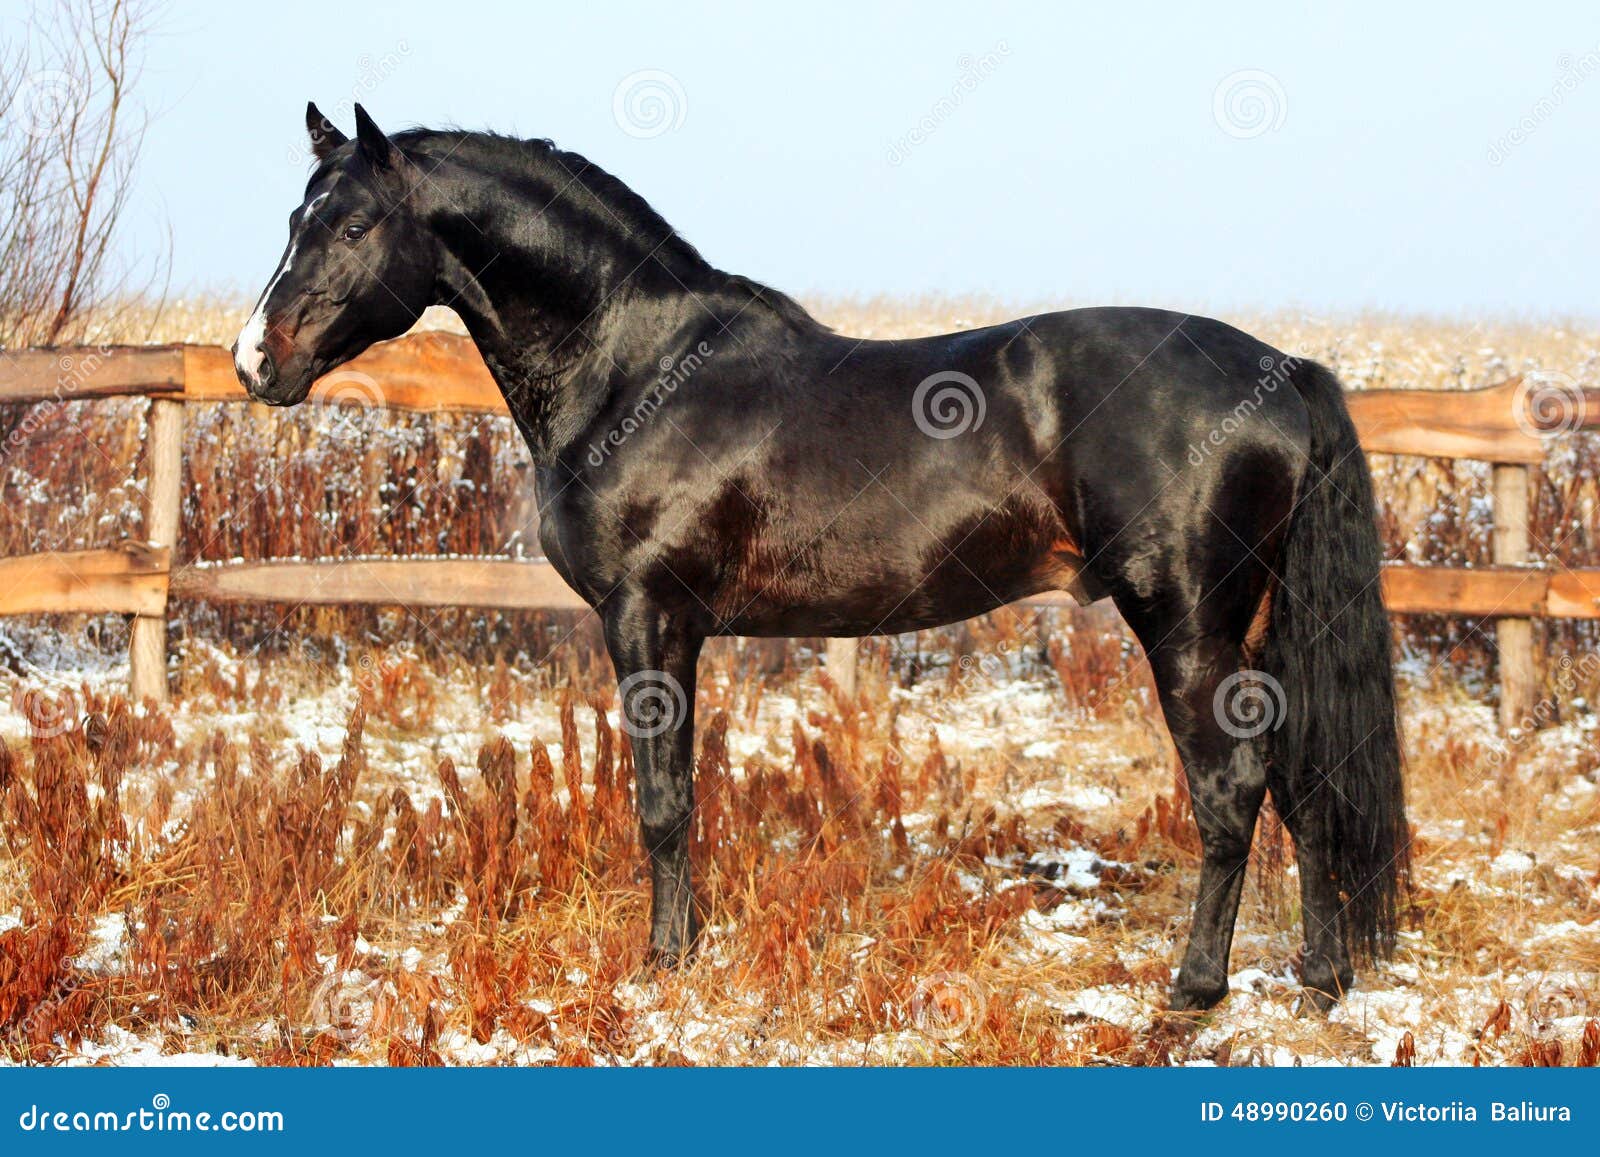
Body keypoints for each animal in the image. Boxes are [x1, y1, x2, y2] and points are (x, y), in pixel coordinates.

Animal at [233, 102, 1407, 1011]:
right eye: (292, 216)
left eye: (351, 221)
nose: (254, 361)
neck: (633, 369)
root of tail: (1281, 372)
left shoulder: (648, 616)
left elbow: (663, 802)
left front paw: (665, 962)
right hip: (1260, 623)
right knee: (1305, 777)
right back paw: (1319, 975)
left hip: (1187, 622)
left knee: (1233, 785)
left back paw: (1195, 986)